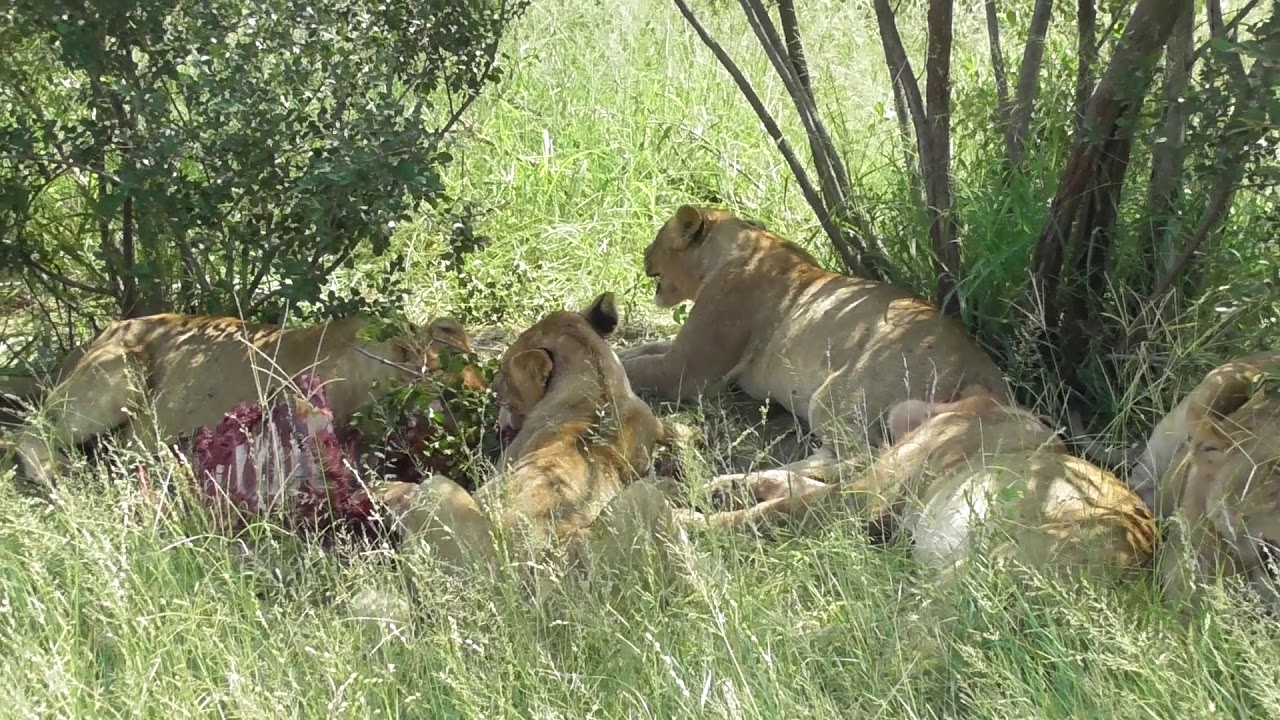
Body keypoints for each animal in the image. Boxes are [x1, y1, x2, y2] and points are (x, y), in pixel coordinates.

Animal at [378, 292, 681, 594]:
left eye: (503, 374)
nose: (495, 393)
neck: (597, 378)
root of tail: (545, 568)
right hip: (649, 495)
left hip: (438, 489)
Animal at [619, 204, 1012, 486]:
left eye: (657, 238)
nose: (642, 254)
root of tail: (986, 373)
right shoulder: (680, 351)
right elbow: (641, 351)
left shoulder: (689, 370)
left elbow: (639, 368)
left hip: (838, 395)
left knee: (863, 458)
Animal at [678, 389, 1156, 580]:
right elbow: (795, 479)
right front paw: (721, 485)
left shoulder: (867, 495)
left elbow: (776, 508)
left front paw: (688, 521)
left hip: (987, 567)